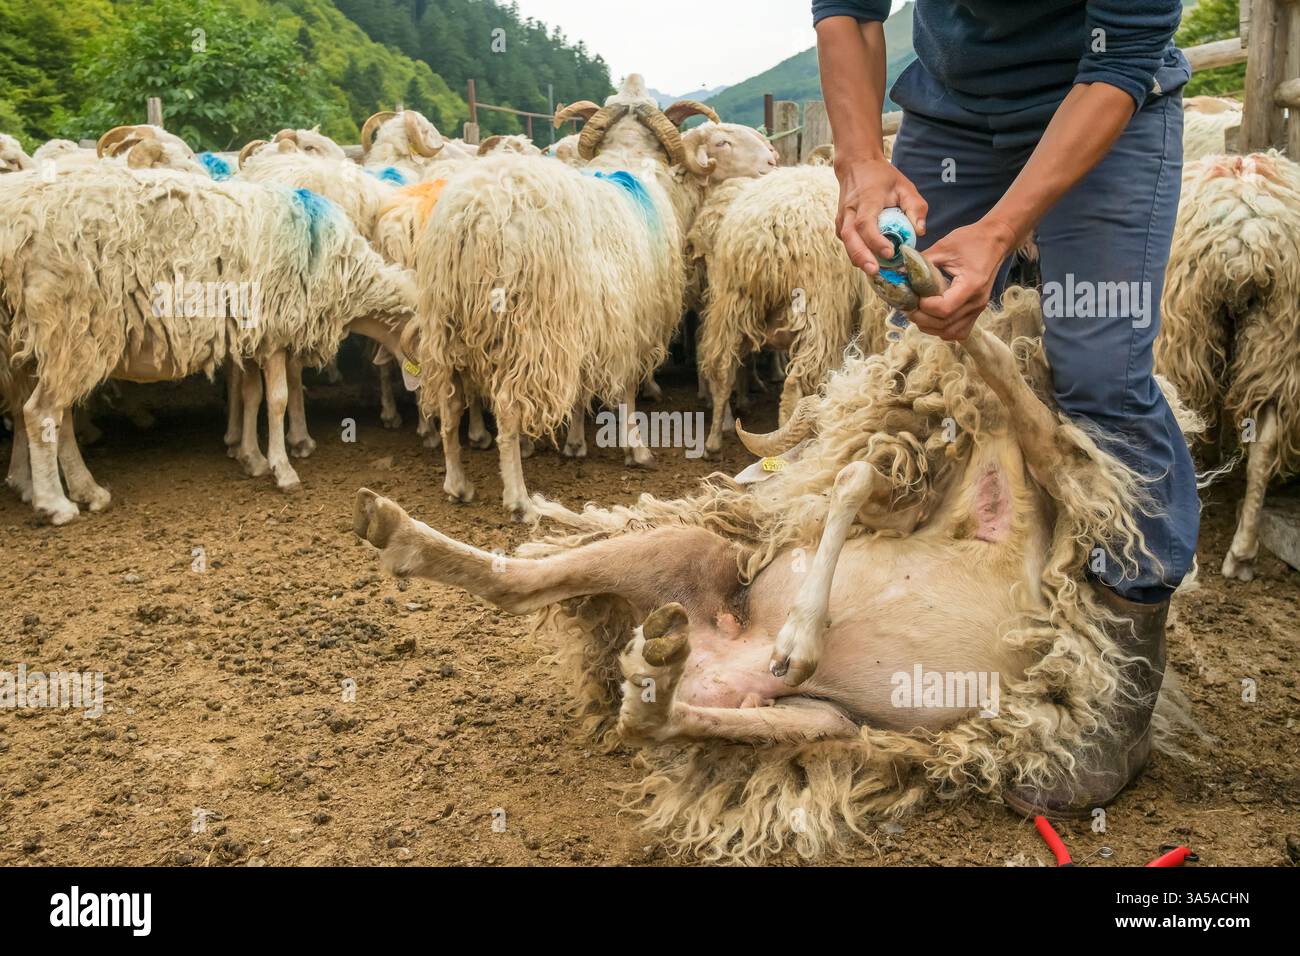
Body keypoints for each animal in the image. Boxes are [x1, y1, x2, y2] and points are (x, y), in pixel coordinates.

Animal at [0, 158, 417, 523]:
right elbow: (278, 399)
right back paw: (55, 504)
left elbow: (250, 396)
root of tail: (18, 226)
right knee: (40, 413)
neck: (342, 273)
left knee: (54, 416)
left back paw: (83, 491)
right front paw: (283, 469)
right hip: (71, 326)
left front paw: (251, 458)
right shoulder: (275, 334)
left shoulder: (249, 339)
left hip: (56, 343)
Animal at [408, 74, 778, 520]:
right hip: (526, 330)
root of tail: (475, 211)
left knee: (448, 407)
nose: (774, 160)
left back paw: (457, 485)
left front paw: (575, 444)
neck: (634, 166)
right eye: (723, 142)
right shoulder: (629, 320)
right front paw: (637, 450)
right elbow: (625, 391)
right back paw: (519, 499)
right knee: (508, 409)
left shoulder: (588, 323)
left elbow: (581, 391)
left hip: (445, 323)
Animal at [1155, 150, 1300, 581]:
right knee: (1265, 441)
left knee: (1180, 416)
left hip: (1183, 331)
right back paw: (1242, 554)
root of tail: (1249, 232)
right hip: (1277, 341)